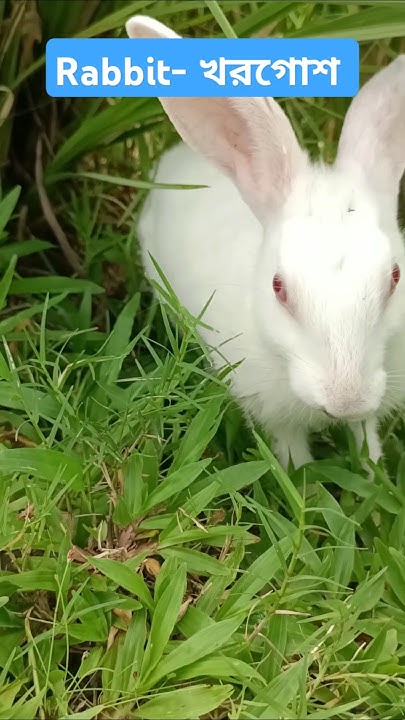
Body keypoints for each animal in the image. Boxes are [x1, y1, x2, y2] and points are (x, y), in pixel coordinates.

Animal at [126, 15, 405, 471]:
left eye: (395, 278)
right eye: (279, 288)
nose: (345, 399)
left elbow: (366, 439)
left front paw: (372, 474)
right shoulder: (273, 412)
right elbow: (292, 454)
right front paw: (304, 482)